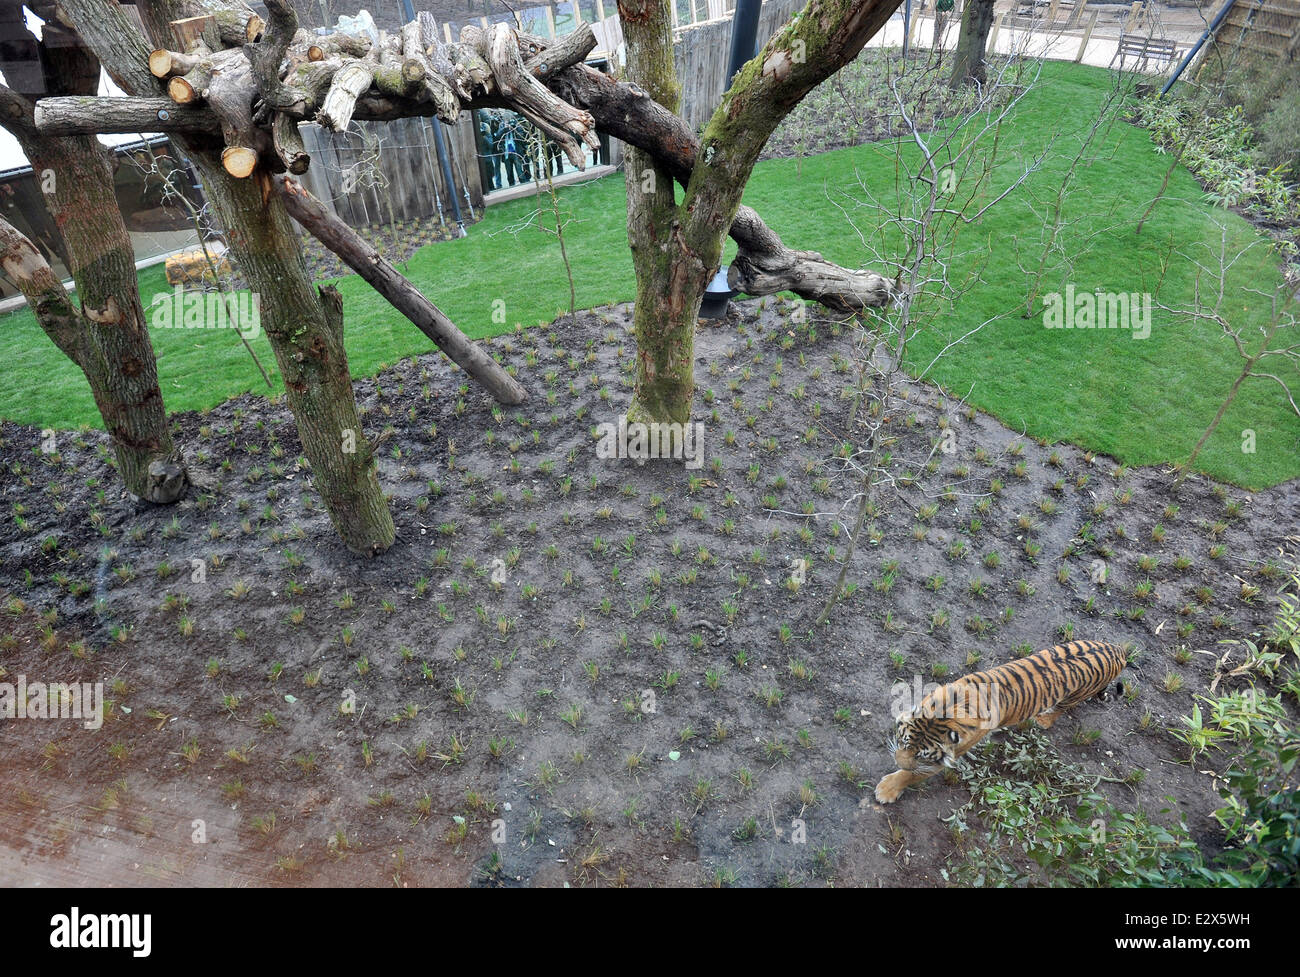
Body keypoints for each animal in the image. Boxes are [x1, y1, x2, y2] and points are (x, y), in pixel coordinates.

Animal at [874, 639, 1127, 804]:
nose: (897, 761)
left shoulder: (949, 755)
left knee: (1064, 708)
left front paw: (886, 790)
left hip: (1076, 694)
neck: (951, 709)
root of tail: (1119, 651)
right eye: (904, 742)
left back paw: (1043, 720)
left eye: (921, 756)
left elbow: (912, 774)